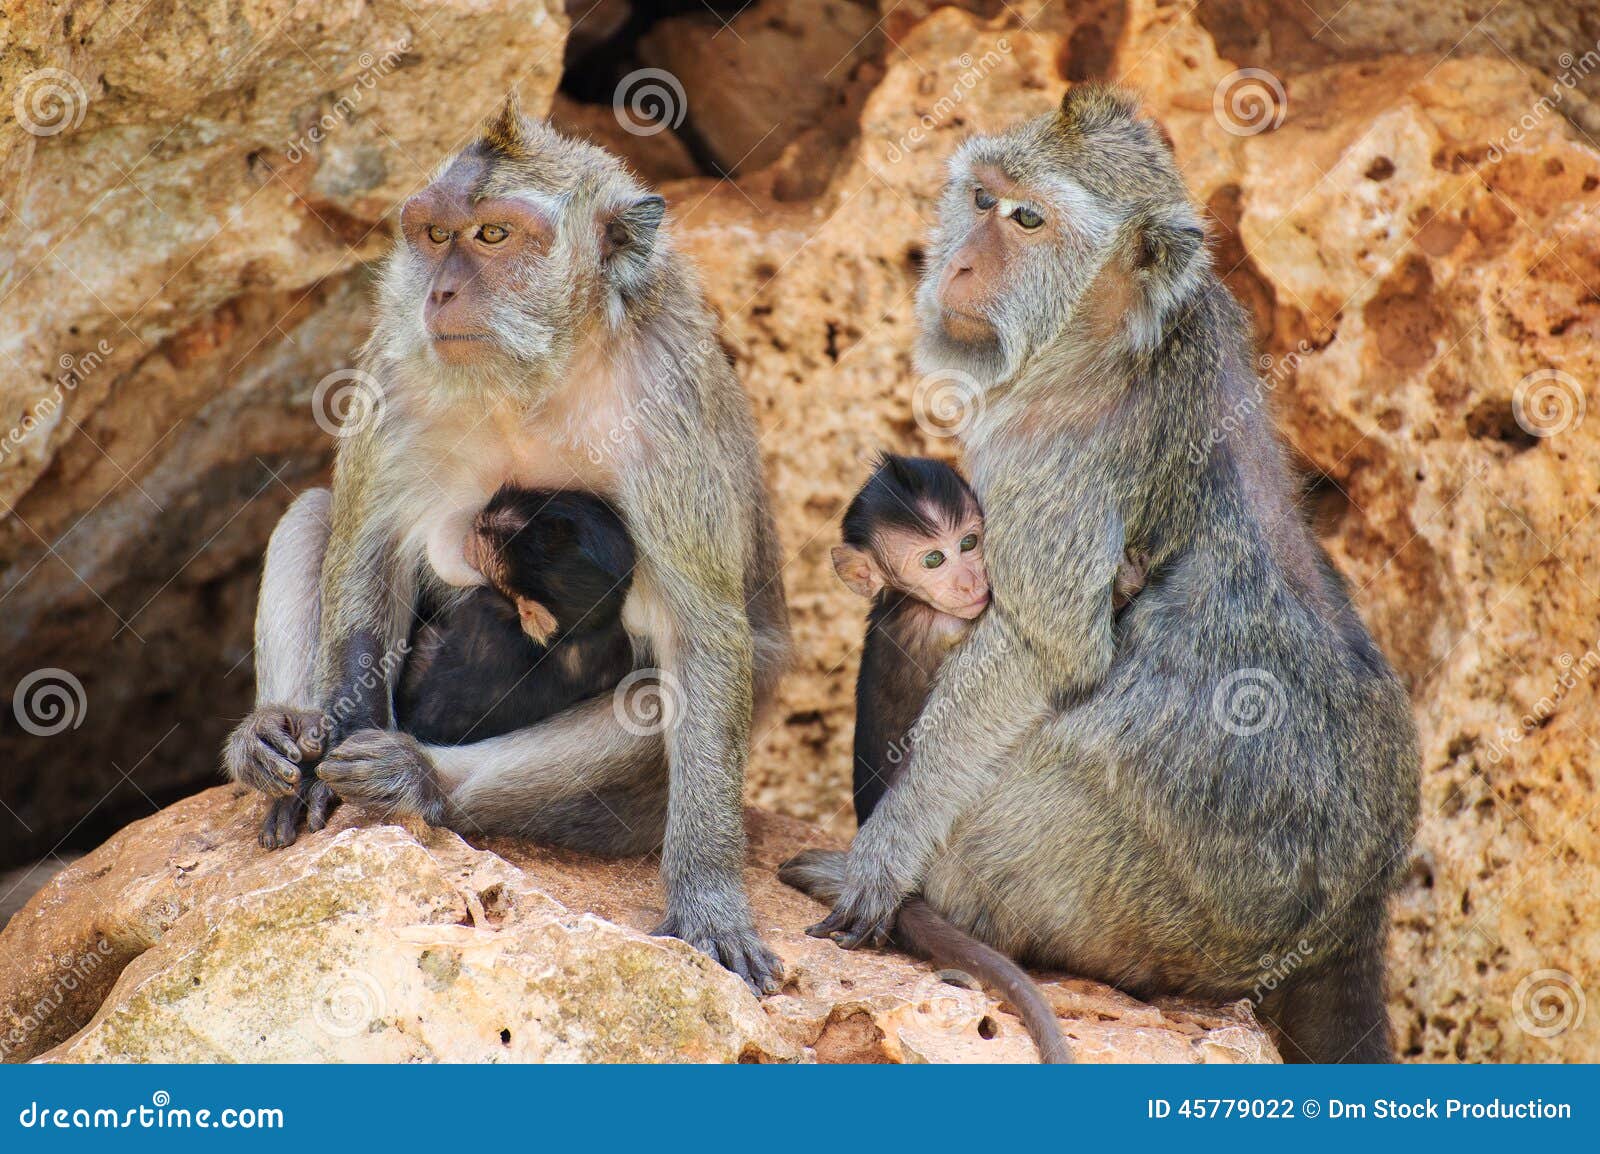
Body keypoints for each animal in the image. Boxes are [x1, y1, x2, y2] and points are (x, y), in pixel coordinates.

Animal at [788, 86, 1420, 1062]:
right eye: (980, 198)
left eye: (1028, 219)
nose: (958, 267)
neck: (1110, 336)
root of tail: (1354, 917)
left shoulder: (1052, 451)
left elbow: (1043, 649)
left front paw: (880, 859)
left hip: (1109, 890)